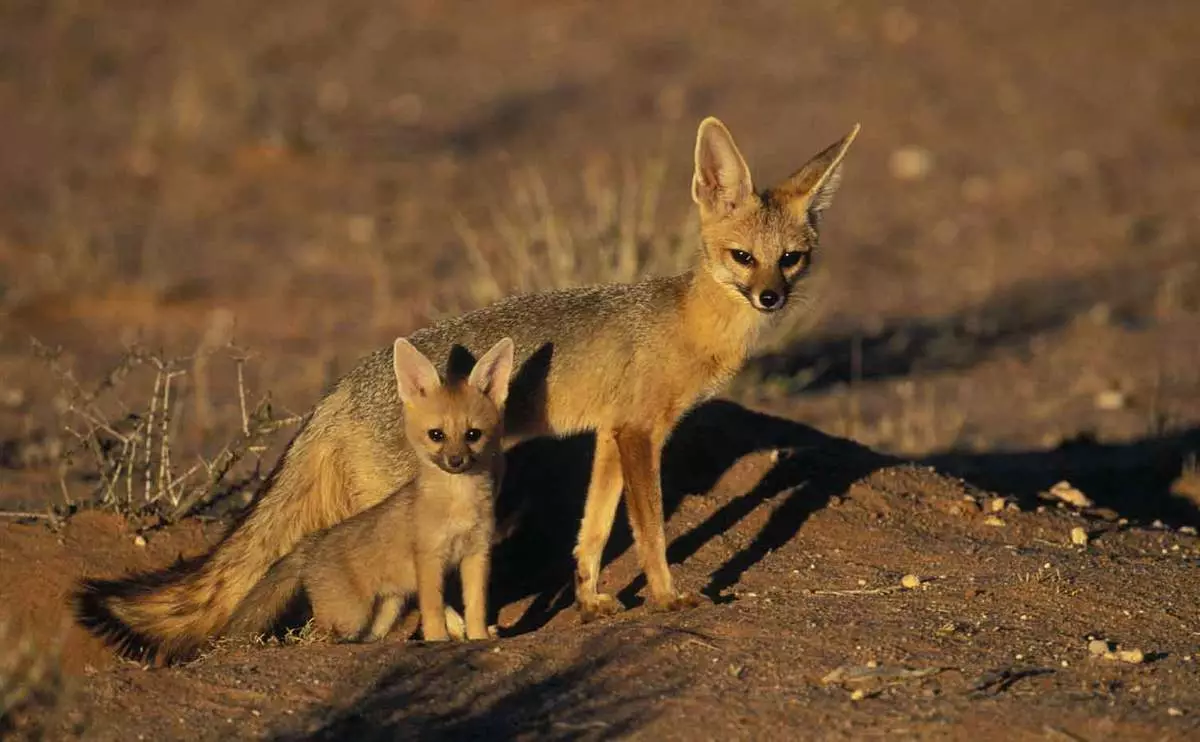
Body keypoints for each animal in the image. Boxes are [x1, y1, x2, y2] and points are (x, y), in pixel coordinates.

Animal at [75, 115, 859, 657]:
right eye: (742, 257)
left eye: (791, 259)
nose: (770, 298)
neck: (687, 321)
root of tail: (339, 386)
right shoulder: (641, 432)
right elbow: (651, 529)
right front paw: (666, 598)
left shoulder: (613, 433)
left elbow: (593, 528)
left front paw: (591, 601)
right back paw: (453, 628)